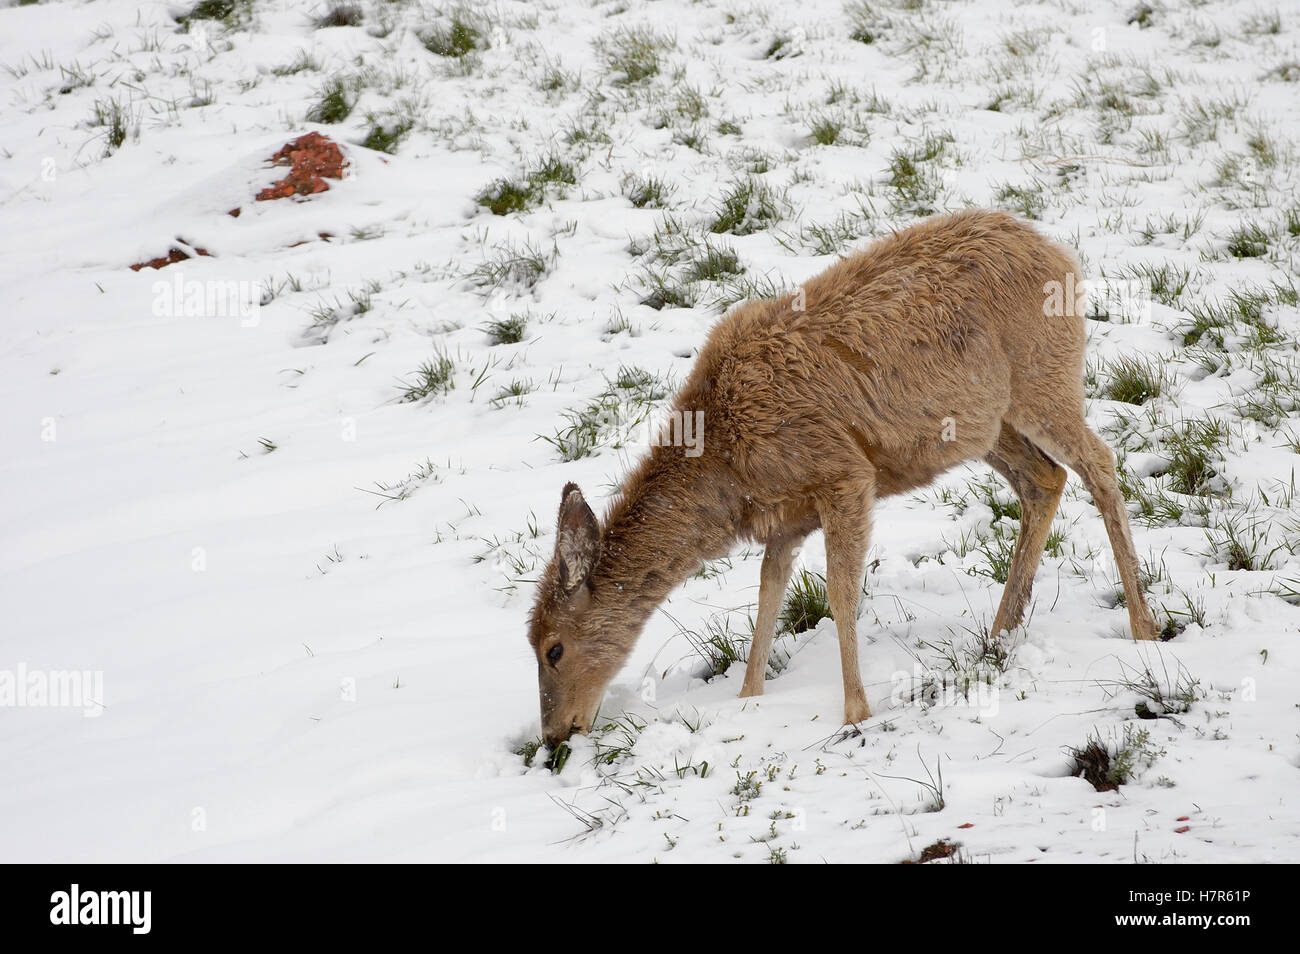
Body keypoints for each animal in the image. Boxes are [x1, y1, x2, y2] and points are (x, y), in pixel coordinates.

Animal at [526, 209, 1159, 748]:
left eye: (553, 649)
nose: (555, 736)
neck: (727, 466)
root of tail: (1060, 254)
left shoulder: (845, 472)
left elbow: (839, 590)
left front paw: (855, 712)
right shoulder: (785, 516)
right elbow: (769, 590)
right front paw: (749, 696)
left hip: (1044, 376)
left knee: (1099, 463)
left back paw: (1144, 626)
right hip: (987, 422)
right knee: (1044, 479)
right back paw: (1000, 634)